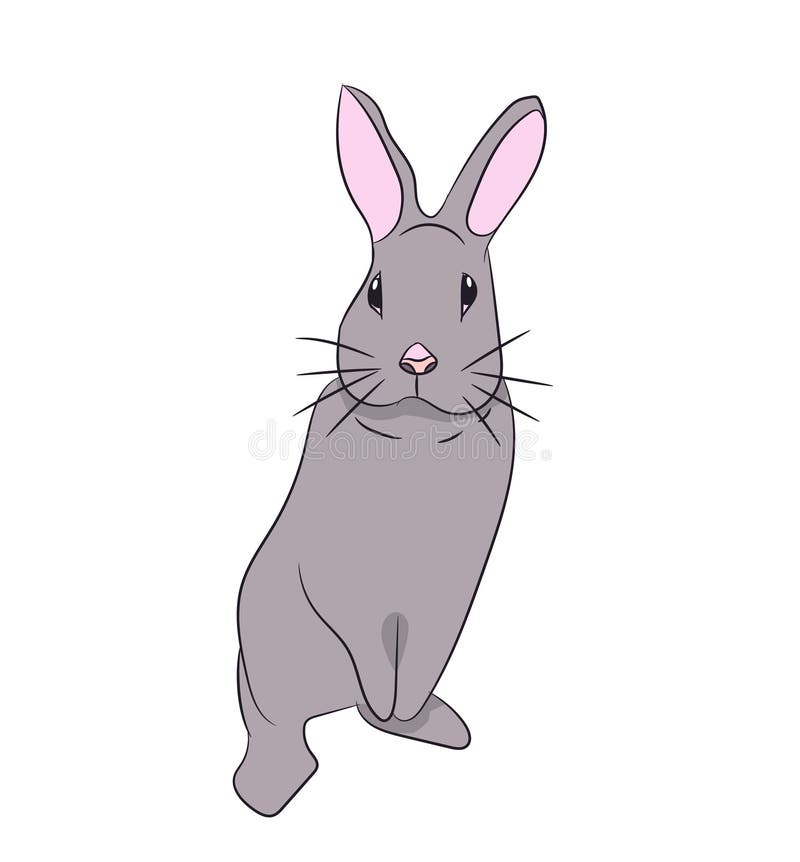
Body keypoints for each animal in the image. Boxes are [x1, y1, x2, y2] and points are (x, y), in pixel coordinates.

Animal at [234, 85, 547, 816]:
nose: (418, 359)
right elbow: (368, 643)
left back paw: (429, 725)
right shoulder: (343, 584)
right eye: (375, 291)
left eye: (468, 291)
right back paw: (265, 791)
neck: (415, 428)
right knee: (276, 725)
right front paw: (387, 704)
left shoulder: (443, 601)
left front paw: (403, 715)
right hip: (263, 651)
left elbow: (418, 661)